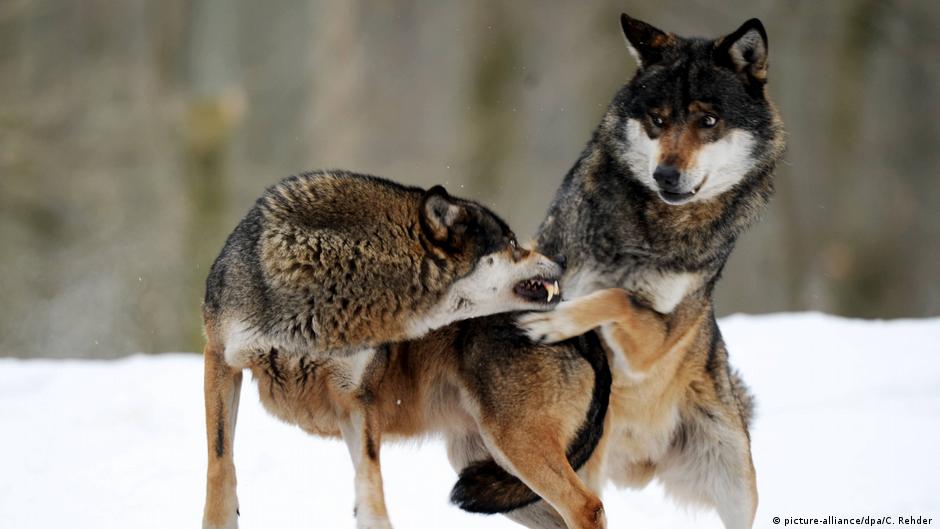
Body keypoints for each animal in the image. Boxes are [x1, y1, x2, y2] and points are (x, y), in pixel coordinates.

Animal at [201, 170, 575, 529]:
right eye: (511, 242)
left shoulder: (355, 396)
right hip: (488, 469)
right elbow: (220, 462)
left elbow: (370, 482)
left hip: (508, 455)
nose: (561, 257)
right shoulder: (220, 359)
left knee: (583, 507)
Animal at [455, 14, 786, 529]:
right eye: (658, 120)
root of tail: (644, 464)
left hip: (736, 488)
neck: (651, 227)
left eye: (708, 121)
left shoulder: (654, 339)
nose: (666, 175)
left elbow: (619, 297)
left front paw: (555, 323)